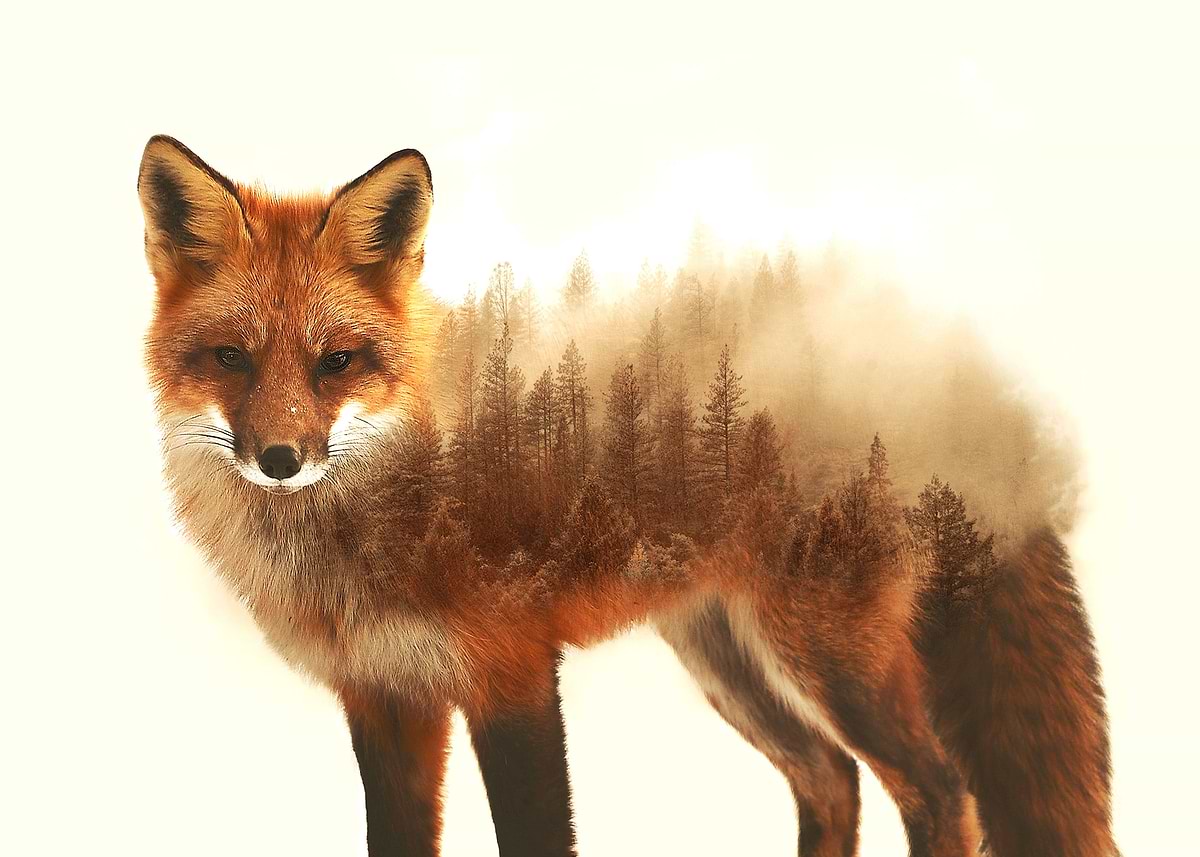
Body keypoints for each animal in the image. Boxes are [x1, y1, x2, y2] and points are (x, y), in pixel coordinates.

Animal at [138, 134, 1117, 857]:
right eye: (231, 358)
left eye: (336, 361)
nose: (280, 459)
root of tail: (948, 388)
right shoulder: (387, 697)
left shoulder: (512, 672)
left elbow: (538, 838)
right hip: (728, 655)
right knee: (830, 780)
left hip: (831, 656)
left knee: (941, 790)